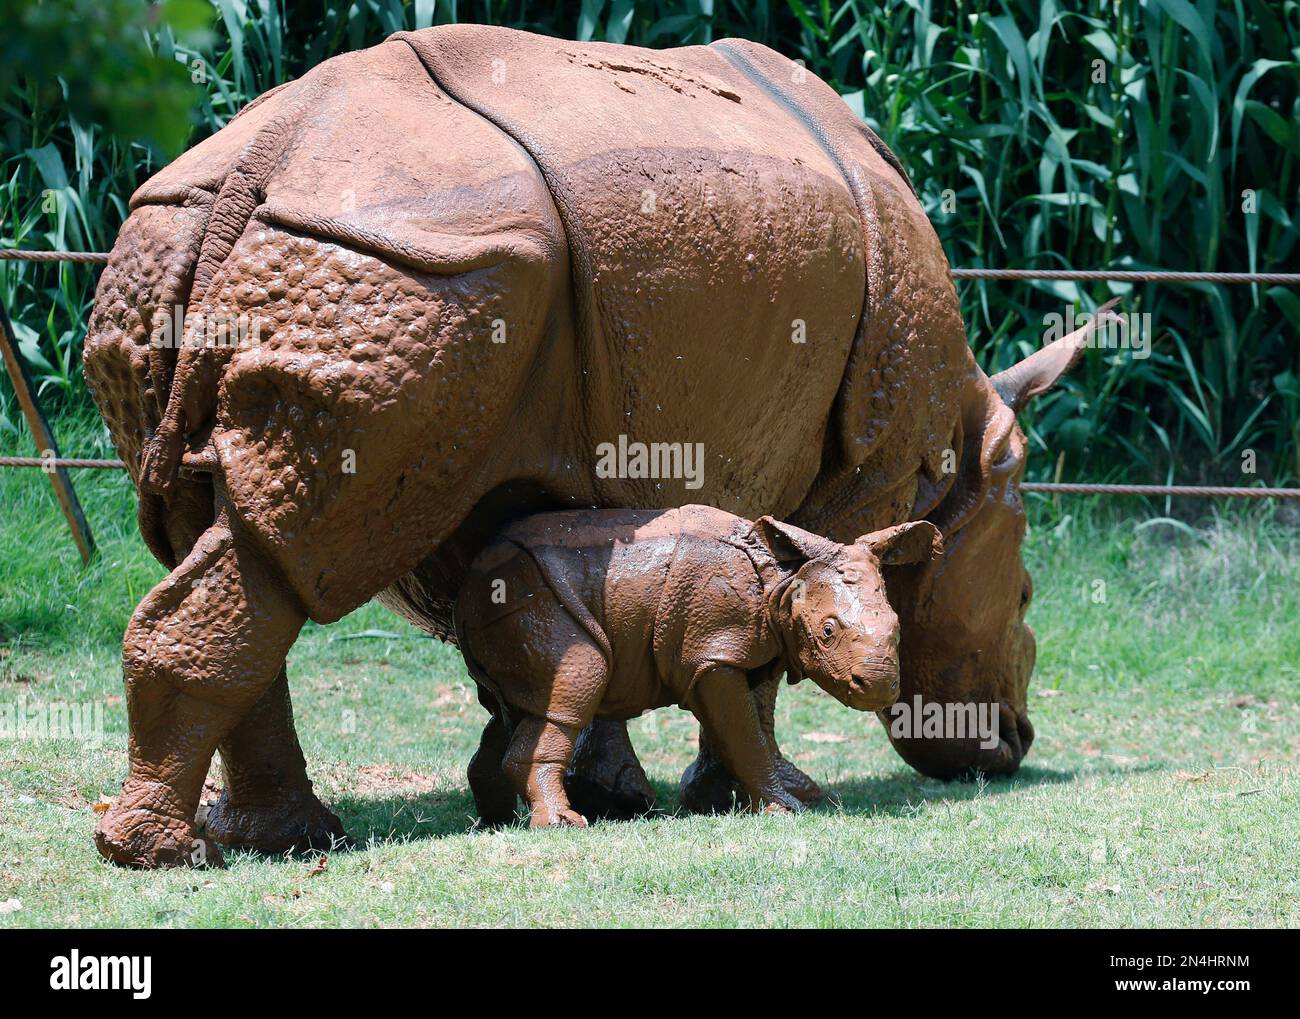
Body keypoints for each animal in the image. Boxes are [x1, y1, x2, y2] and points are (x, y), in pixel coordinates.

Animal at [83, 24, 1103, 867]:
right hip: (407, 260)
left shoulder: (528, 456)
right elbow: (763, 648)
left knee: (220, 541)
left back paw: (280, 840)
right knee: (284, 558)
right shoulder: (862, 470)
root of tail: (267, 154)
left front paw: (588, 791)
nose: (1010, 746)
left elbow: (554, 615)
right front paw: (757, 793)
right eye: (1023, 596)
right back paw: (170, 856)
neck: (963, 447)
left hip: (210, 245)